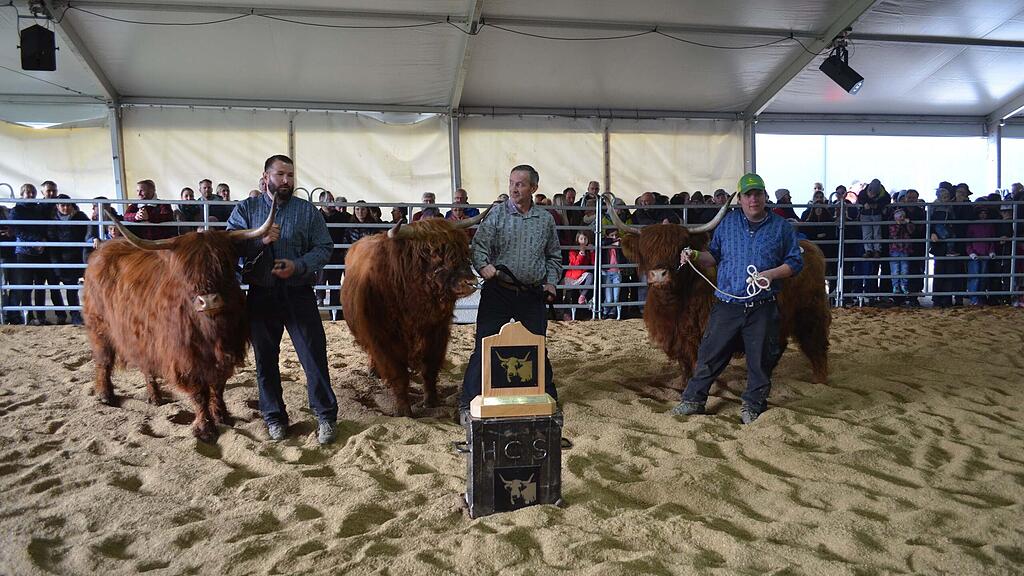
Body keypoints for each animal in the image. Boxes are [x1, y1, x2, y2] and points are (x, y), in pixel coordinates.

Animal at [82, 201, 276, 442]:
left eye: (225, 266)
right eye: (186, 273)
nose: (208, 300)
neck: (212, 331)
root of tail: (102, 249)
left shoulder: (227, 351)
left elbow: (218, 386)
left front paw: (222, 415)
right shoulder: (183, 356)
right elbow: (199, 393)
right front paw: (205, 428)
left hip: (143, 337)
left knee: (145, 365)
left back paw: (154, 397)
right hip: (100, 327)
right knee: (104, 360)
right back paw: (105, 395)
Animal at [342, 205, 494, 416]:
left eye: (464, 251)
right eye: (436, 255)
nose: (470, 281)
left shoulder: (436, 333)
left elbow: (429, 368)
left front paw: (431, 401)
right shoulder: (382, 338)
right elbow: (398, 373)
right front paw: (404, 410)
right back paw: (373, 371)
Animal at [603, 192, 830, 385]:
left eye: (679, 249)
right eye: (647, 250)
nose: (659, 274)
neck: (674, 304)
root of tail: (808, 247)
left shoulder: (702, 337)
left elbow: (699, 365)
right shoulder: (678, 338)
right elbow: (685, 367)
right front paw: (683, 385)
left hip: (810, 313)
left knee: (816, 345)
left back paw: (820, 381)